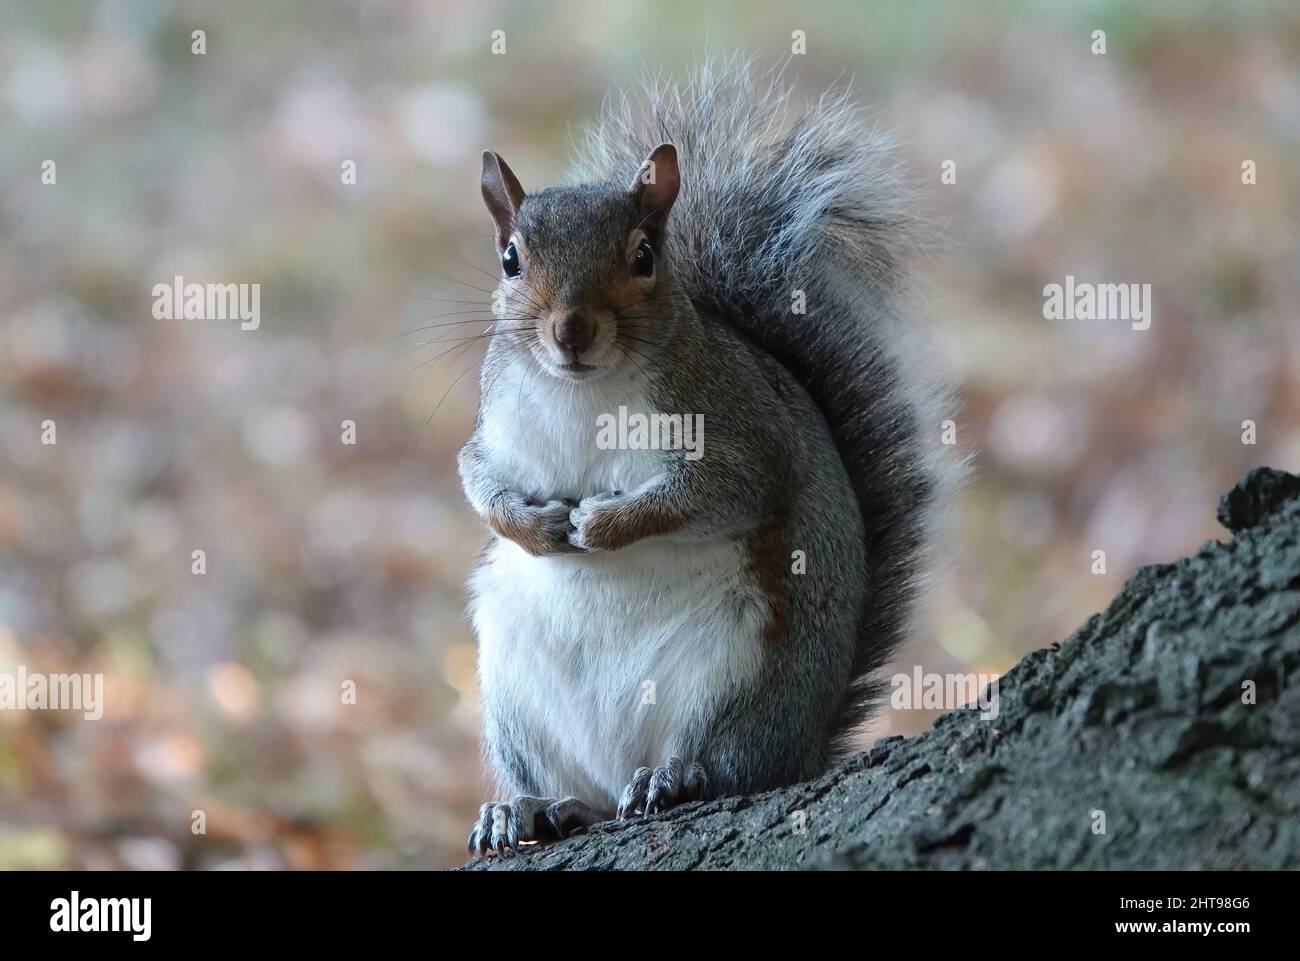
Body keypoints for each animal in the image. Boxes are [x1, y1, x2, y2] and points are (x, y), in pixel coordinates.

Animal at [459, 61, 958, 857]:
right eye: (510, 259)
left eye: (643, 256)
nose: (571, 330)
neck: (583, 392)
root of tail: (806, 745)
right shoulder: (492, 431)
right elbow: (477, 482)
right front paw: (535, 527)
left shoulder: (743, 433)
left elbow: (716, 494)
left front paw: (604, 525)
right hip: (516, 694)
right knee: (580, 798)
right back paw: (528, 809)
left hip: (741, 671)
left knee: (730, 765)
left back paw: (672, 778)